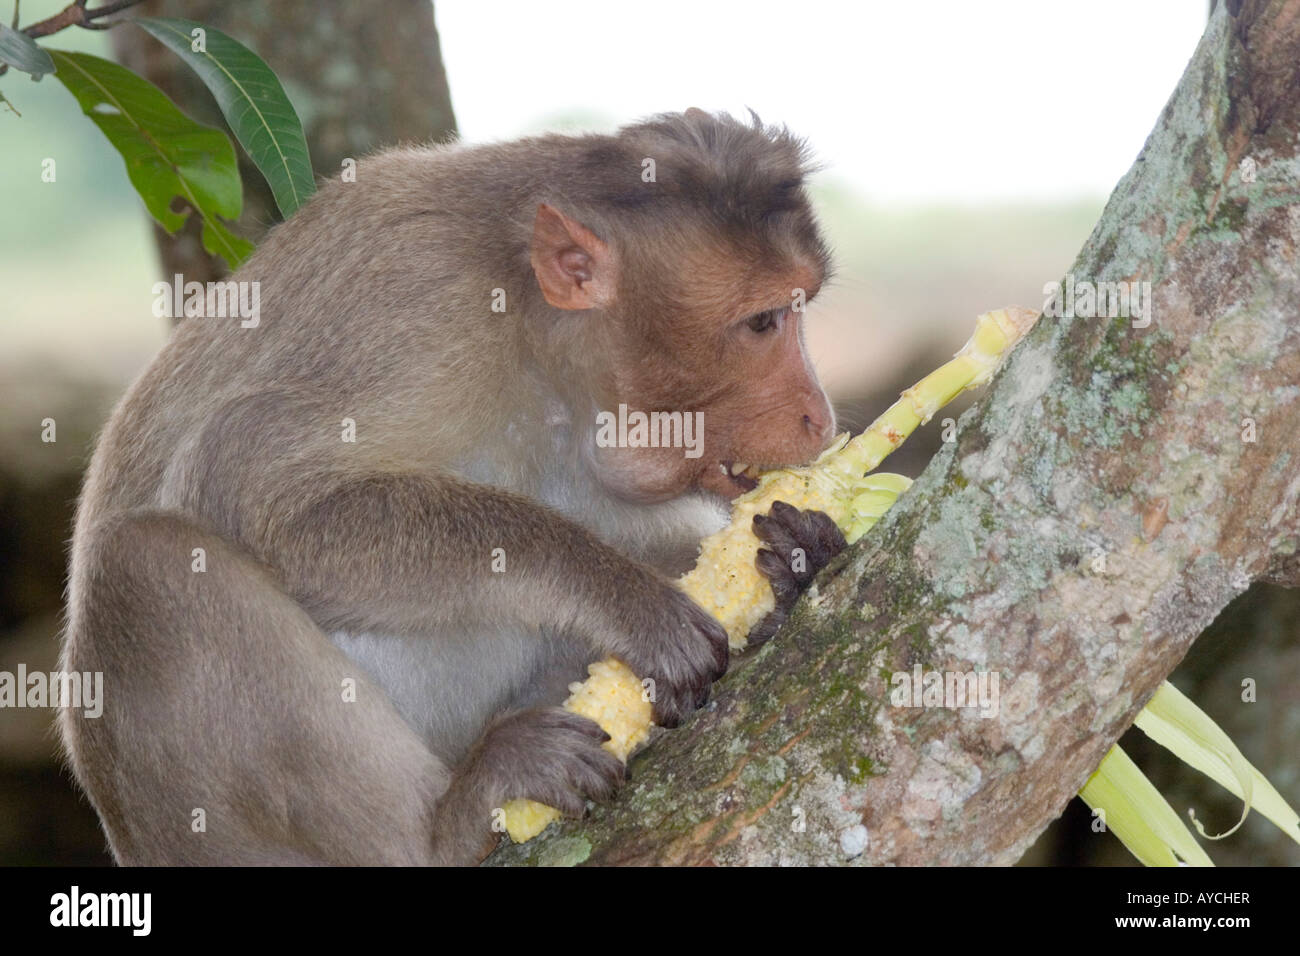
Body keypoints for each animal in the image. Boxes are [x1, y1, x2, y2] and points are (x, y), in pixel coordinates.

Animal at [59, 109, 846, 865]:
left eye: (800, 306)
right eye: (763, 322)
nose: (821, 415)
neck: (534, 345)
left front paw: (793, 561)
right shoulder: (417, 311)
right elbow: (250, 486)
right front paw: (625, 598)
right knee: (147, 561)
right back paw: (443, 829)